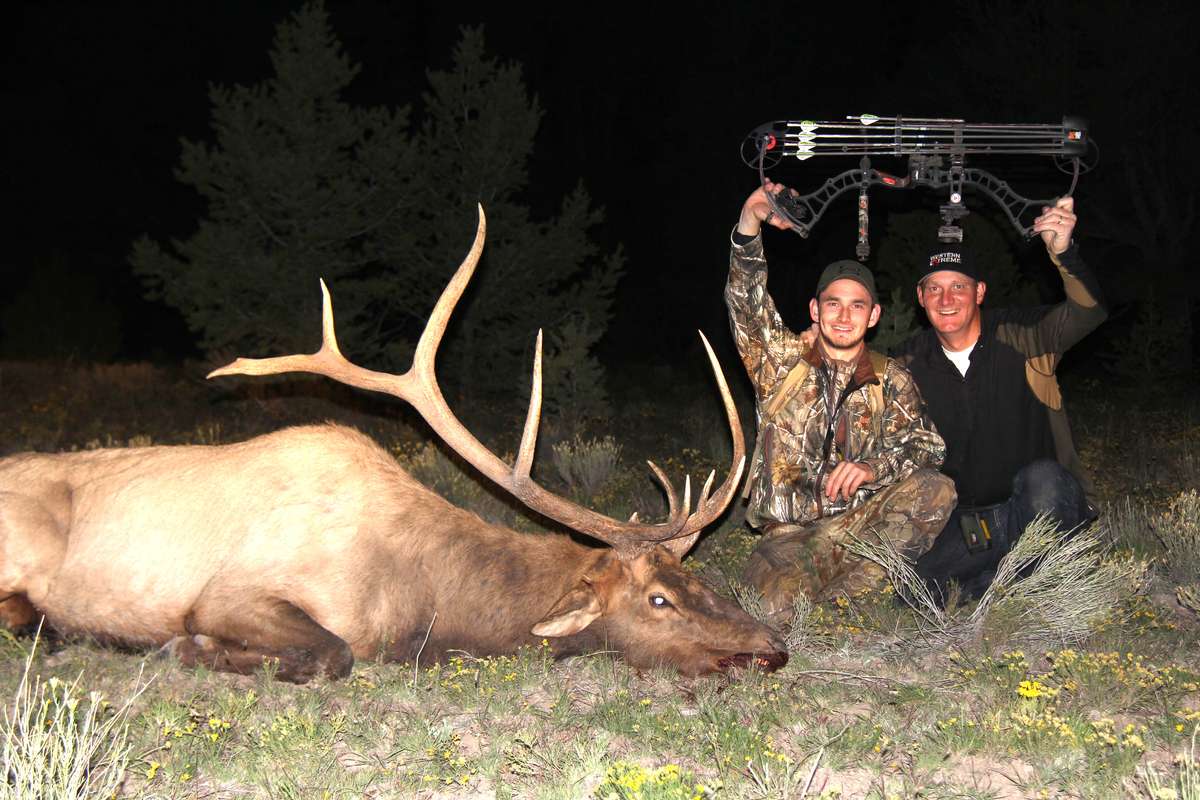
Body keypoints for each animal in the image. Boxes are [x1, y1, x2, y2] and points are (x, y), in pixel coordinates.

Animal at [0, 208, 787, 683]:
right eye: (659, 599)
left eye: (699, 578)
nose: (774, 647)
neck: (417, 605)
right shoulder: (231, 592)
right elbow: (332, 652)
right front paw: (182, 646)